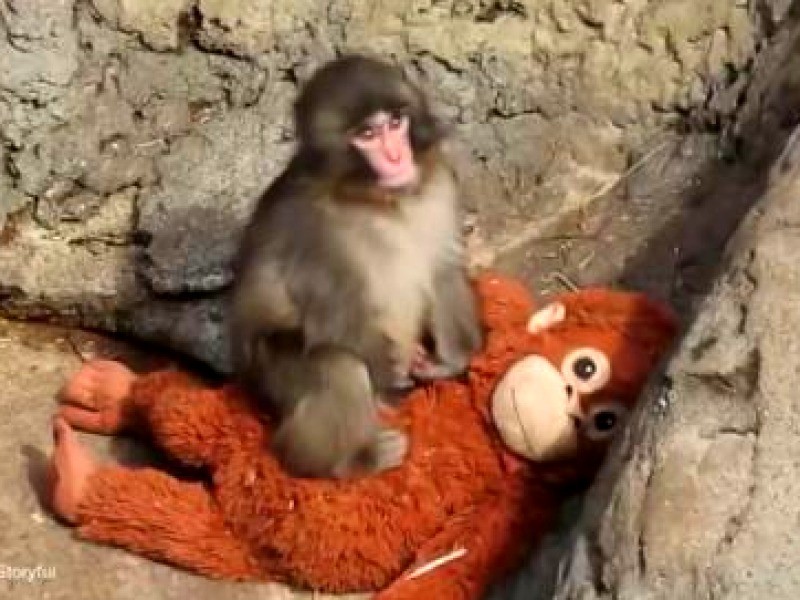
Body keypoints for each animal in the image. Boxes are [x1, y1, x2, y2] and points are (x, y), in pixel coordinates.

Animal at [229, 55, 483, 479]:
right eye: (366, 134)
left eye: (396, 123)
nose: (397, 158)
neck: (378, 199)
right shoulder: (308, 227)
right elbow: (334, 317)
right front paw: (391, 371)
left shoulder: (438, 181)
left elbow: (442, 270)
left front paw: (450, 362)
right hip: (270, 379)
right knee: (338, 363)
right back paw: (348, 460)